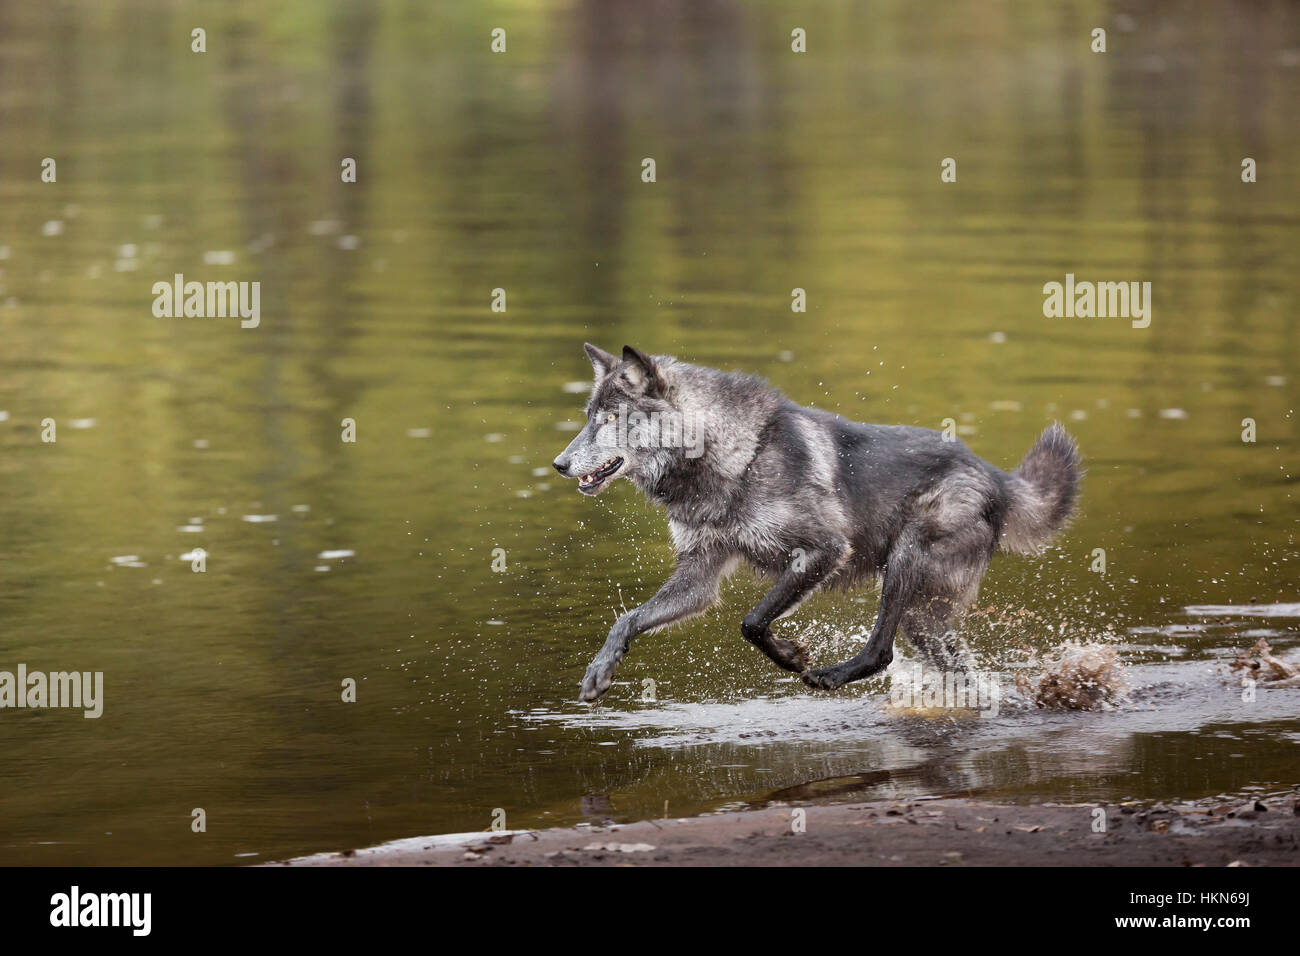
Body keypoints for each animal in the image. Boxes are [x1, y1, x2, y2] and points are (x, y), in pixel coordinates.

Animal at [553, 344, 1081, 703]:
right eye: (588, 417)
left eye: (609, 419)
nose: (558, 465)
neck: (730, 457)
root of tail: (997, 477)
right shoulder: (699, 576)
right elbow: (627, 619)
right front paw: (599, 672)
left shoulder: (825, 549)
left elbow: (752, 621)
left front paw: (790, 656)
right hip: (924, 619)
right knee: (956, 673)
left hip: (905, 561)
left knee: (882, 651)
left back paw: (831, 675)